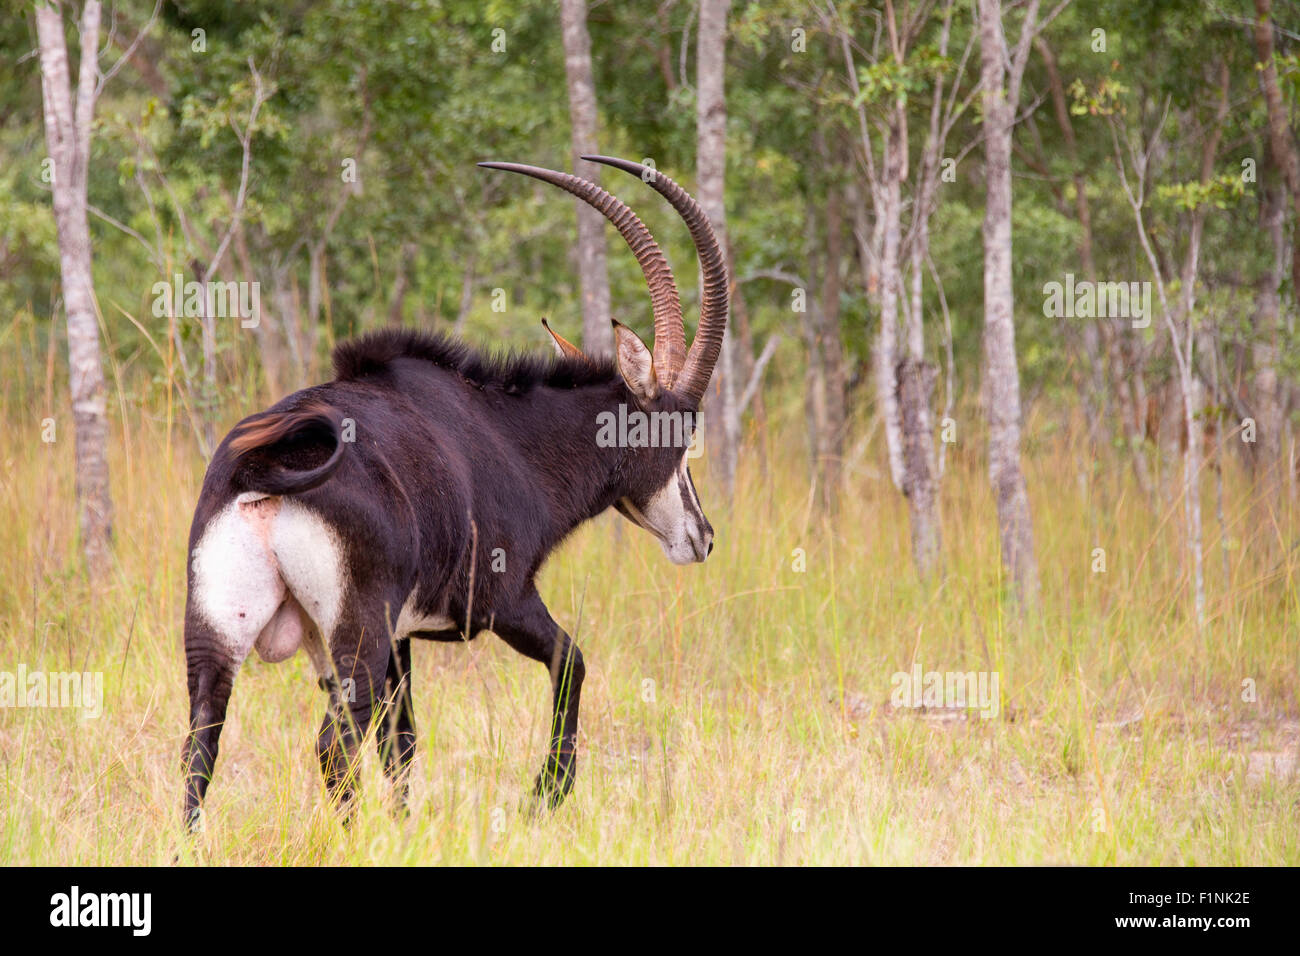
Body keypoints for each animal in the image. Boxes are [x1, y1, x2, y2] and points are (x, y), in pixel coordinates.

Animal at [181, 156, 728, 827]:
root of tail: (264, 466)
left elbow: (403, 742)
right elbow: (571, 662)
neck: (510, 437)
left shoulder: (403, 637)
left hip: (219, 633)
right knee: (334, 743)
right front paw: (546, 796)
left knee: (202, 742)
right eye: (681, 435)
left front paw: (405, 825)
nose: (703, 537)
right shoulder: (501, 601)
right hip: (355, 635)